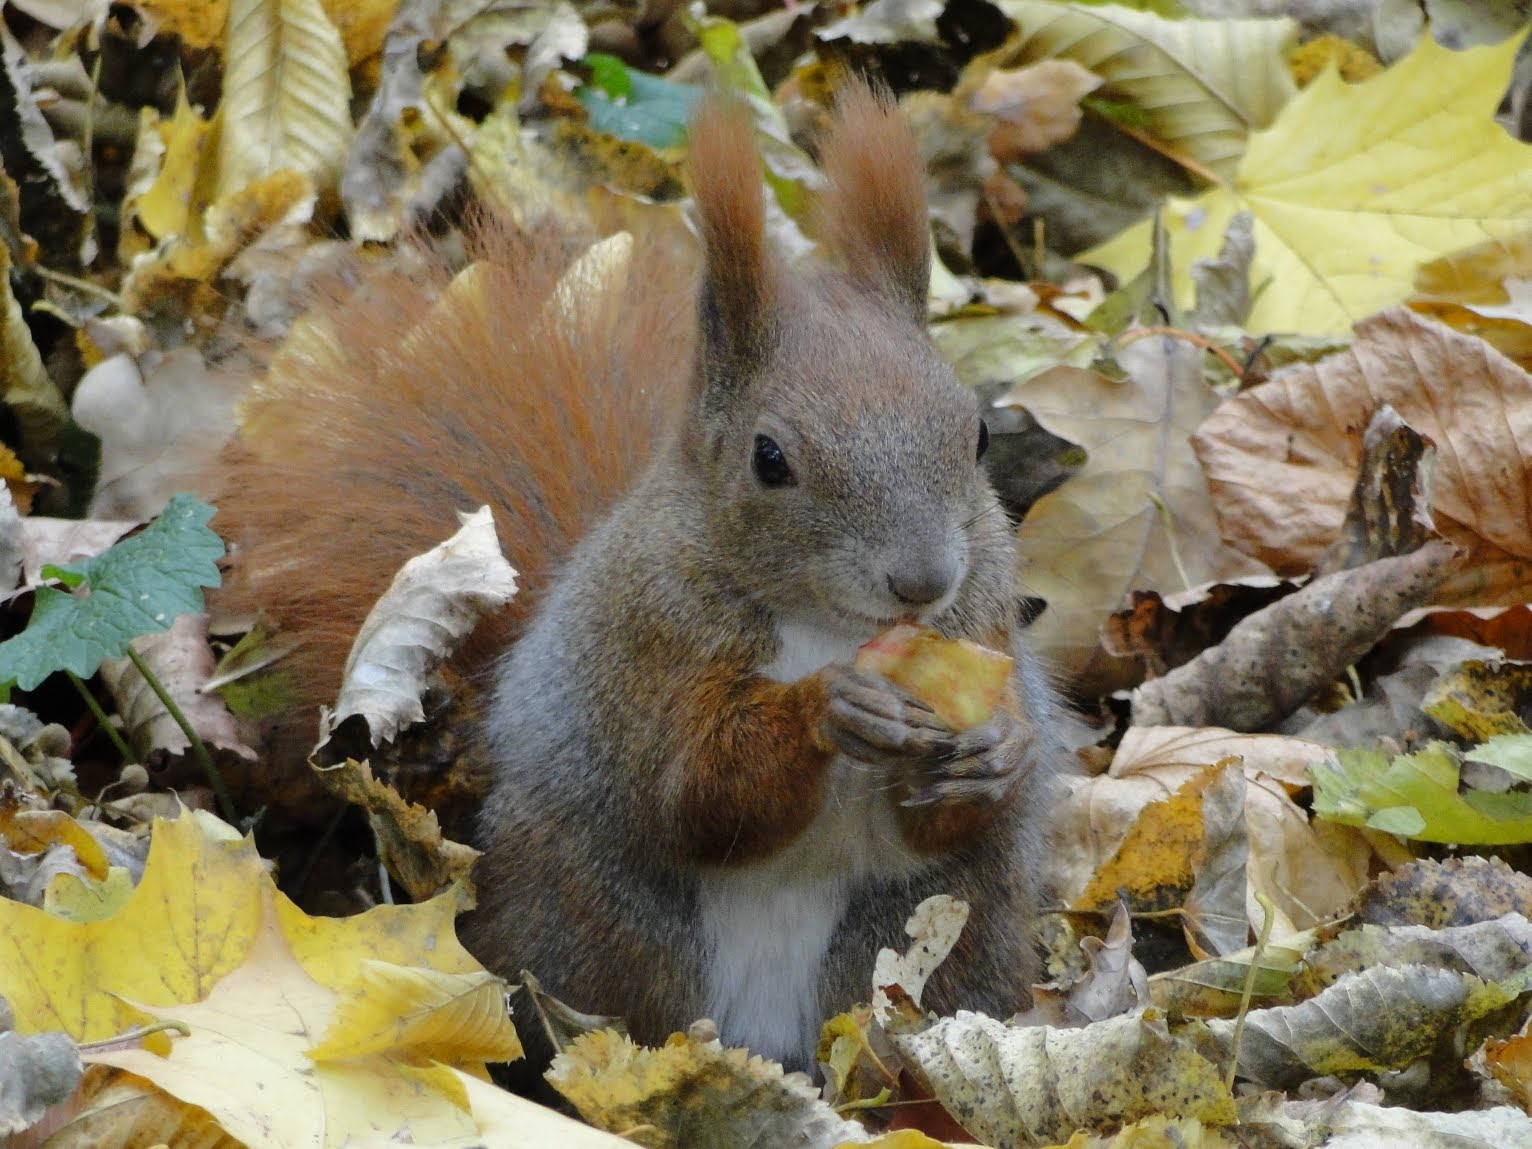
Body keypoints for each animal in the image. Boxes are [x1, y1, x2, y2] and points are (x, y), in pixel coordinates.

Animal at [211, 81, 1065, 1071]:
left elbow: (944, 814)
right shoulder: (647, 646)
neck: (829, 623)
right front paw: (830, 706)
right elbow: (692, 793)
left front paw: (1000, 752)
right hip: (606, 930)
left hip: (930, 940)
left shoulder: (983, 623)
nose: (923, 580)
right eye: (769, 458)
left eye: (979, 435)